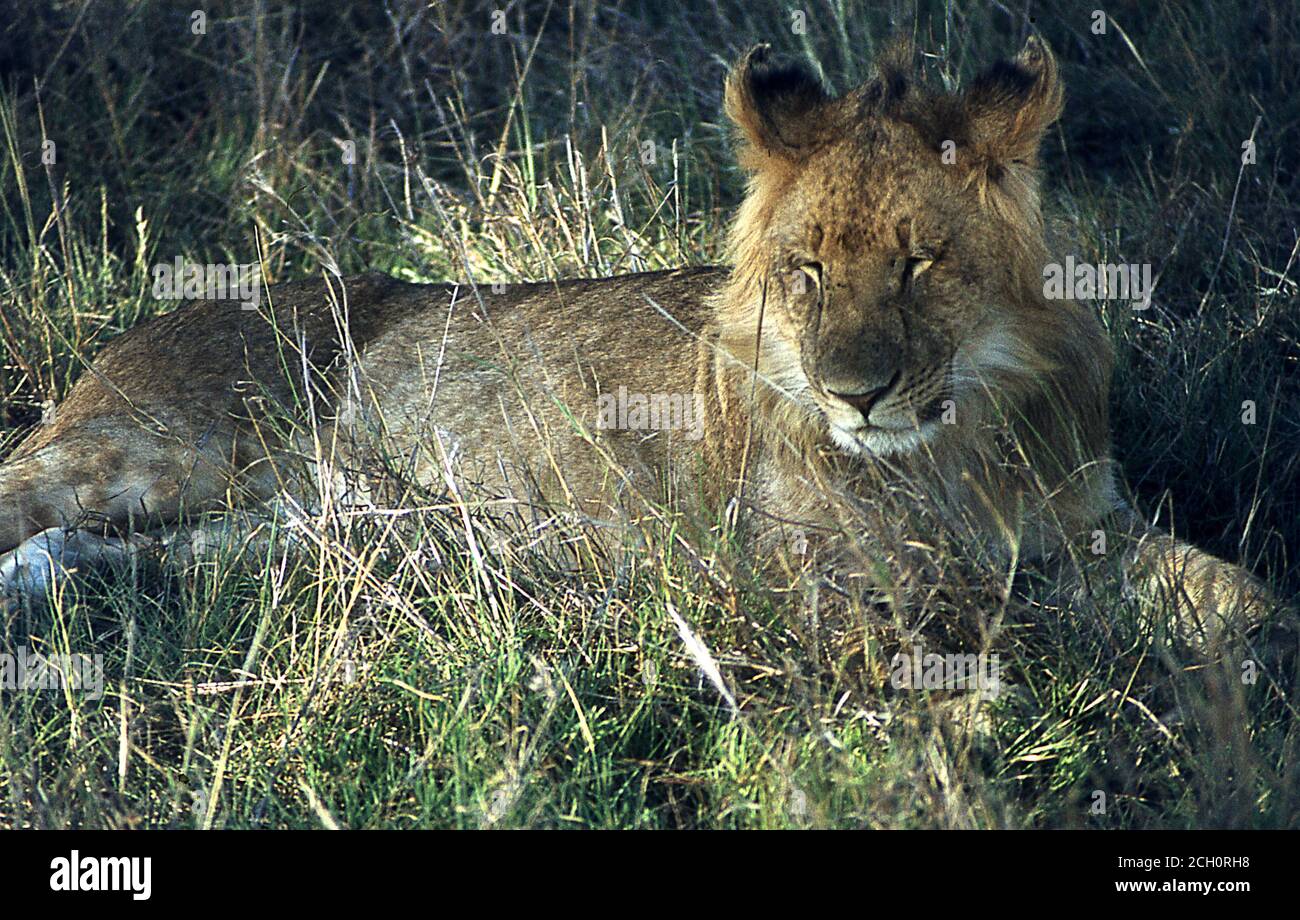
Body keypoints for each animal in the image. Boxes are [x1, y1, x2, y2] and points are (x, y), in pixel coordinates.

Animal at [0, 37, 1290, 665]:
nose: (855, 395)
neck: (958, 438)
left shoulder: (1087, 521)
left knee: (107, 552)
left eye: (920, 263)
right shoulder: (813, 583)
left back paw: (42, 590)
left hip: (304, 540)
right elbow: (986, 617)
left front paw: (1260, 644)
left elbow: (1230, 591)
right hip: (151, 454)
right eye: (805, 268)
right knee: (35, 494)